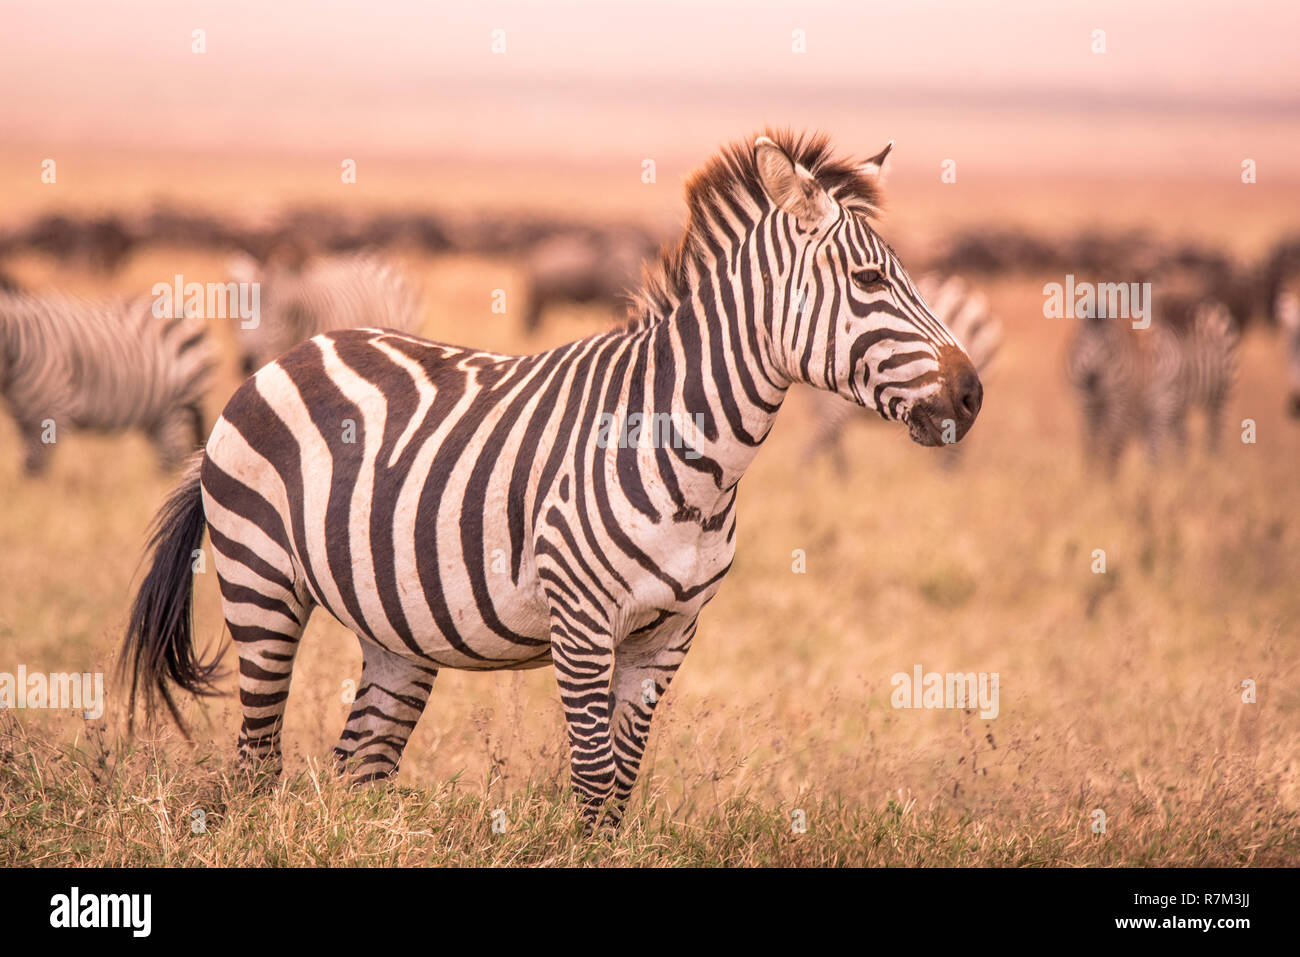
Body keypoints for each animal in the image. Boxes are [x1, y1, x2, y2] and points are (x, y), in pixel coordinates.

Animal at [0, 290, 214, 475]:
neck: (19, 342)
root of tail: (189, 314)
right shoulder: (25, 421)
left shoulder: (51, 412)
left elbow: (34, 470)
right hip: (160, 416)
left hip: (178, 407)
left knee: (170, 462)